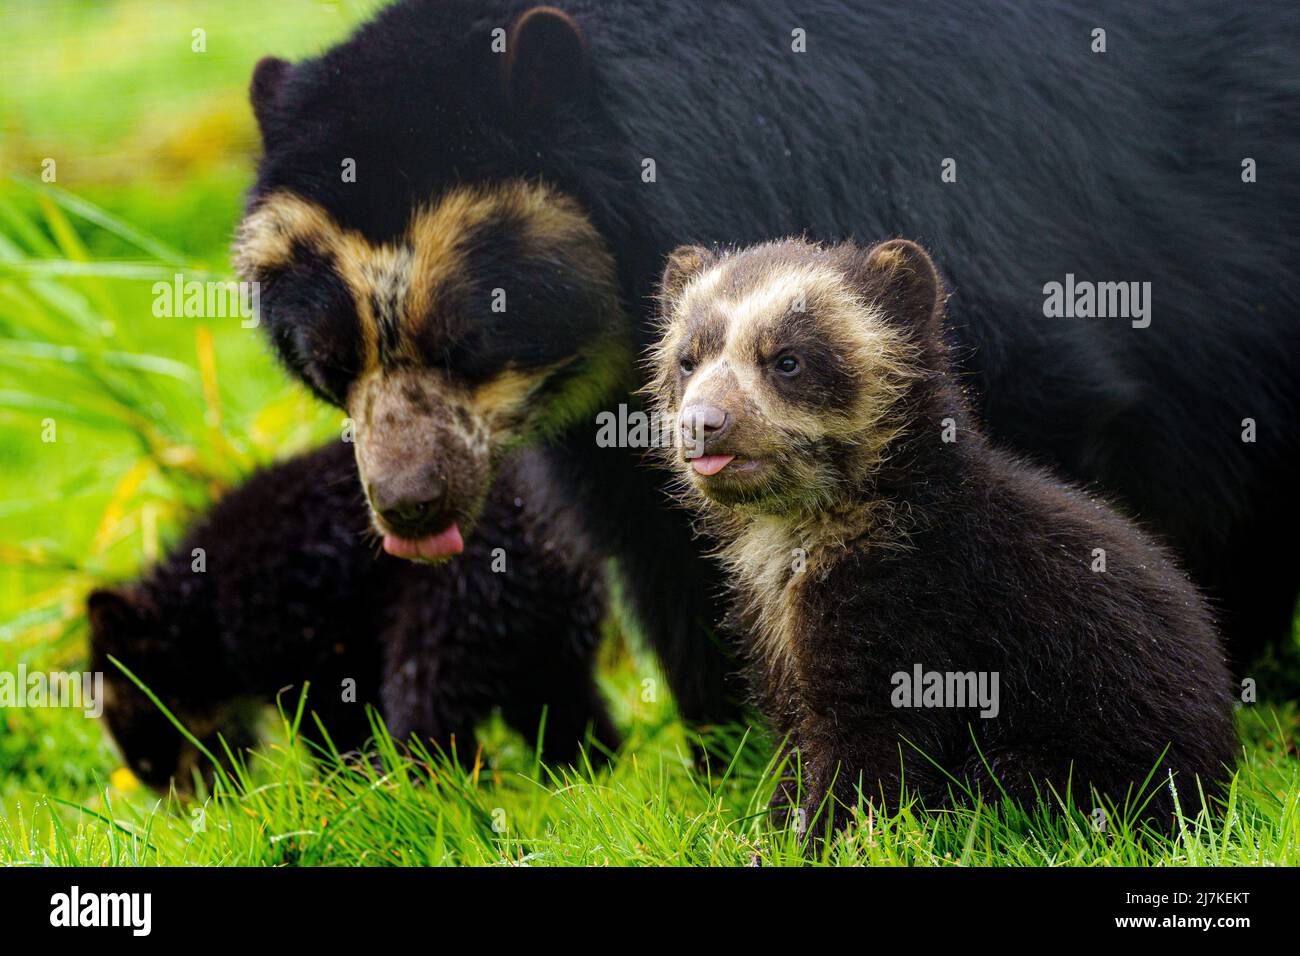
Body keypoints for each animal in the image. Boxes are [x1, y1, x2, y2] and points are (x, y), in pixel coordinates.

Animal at [87, 440, 617, 793]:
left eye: (136, 720)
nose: (183, 805)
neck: (206, 609)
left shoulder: (302, 638)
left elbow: (336, 722)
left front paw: (344, 789)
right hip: (546, 628)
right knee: (566, 706)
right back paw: (584, 775)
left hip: (459, 600)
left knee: (425, 704)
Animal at [234, 0, 1299, 738]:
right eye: (326, 361)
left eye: (470, 339)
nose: (411, 508)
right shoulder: (614, 406)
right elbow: (657, 534)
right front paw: (728, 745)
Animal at [645, 236, 1238, 828]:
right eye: (687, 361)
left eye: (788, 360)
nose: (702, 423)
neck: (807, 531)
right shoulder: (768, 623)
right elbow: (796, 735)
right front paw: (774, 824)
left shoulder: (917, 601)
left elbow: (870, 736)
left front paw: (831, 832)